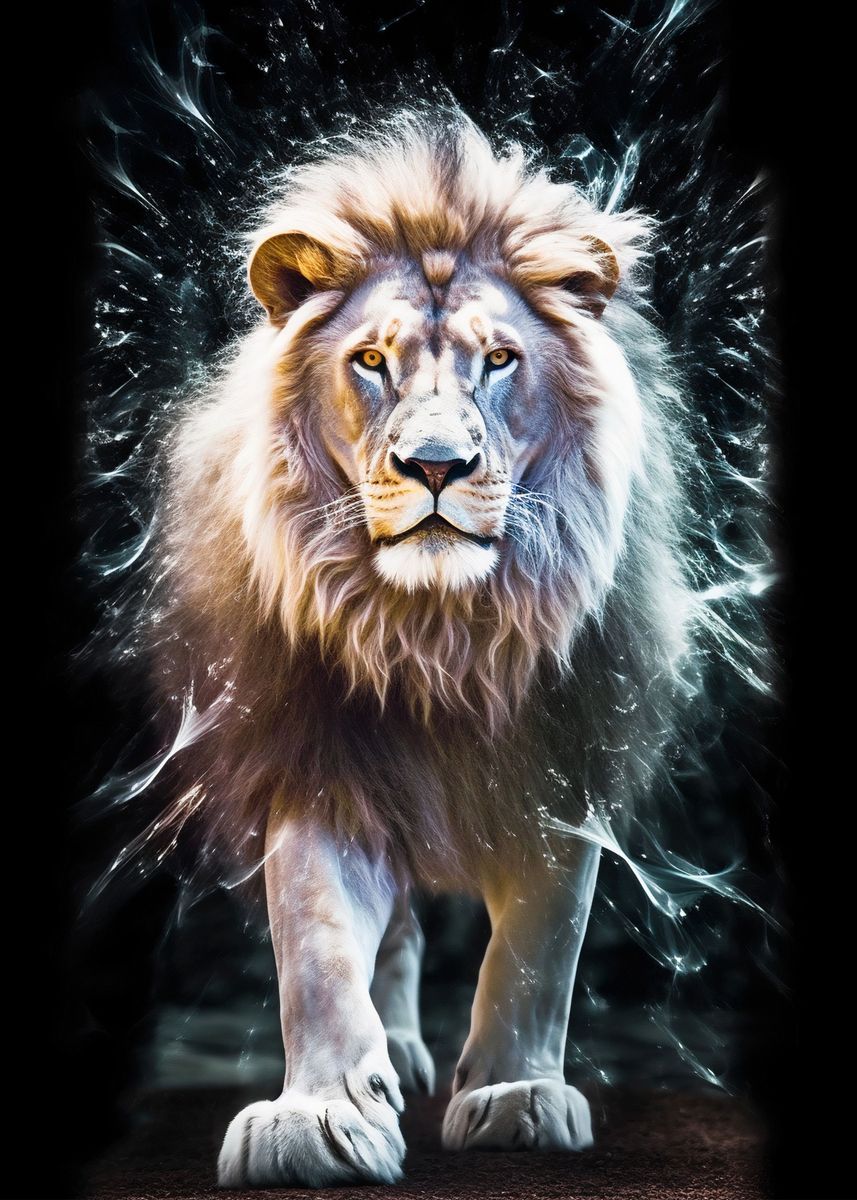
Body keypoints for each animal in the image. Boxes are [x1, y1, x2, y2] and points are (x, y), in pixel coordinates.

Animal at [145, 105, 694, 1188]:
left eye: (500, 360)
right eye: (370, 360)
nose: (435, 464)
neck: (439, 634)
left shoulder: (564, 759)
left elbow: (538, 950)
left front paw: (516, 1096)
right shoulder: (311, 754)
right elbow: (315, 941)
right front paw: (315, 1117)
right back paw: (393, 1054)